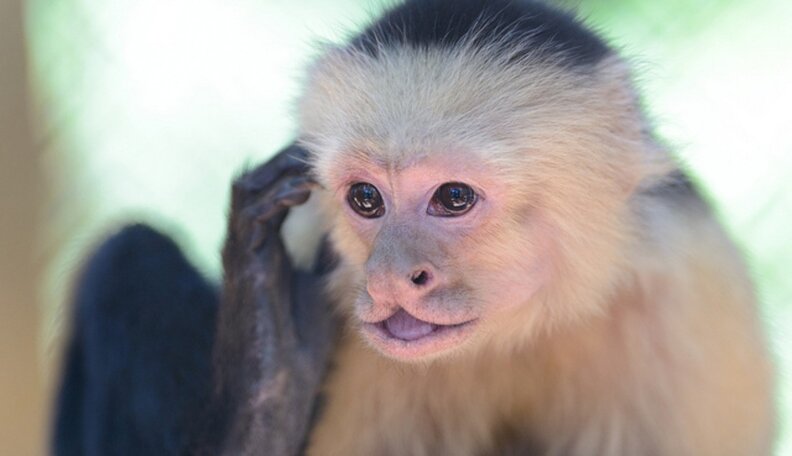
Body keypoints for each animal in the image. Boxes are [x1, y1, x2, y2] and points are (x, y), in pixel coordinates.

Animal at [52, 0, 776, 455]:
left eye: (453, 198)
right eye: (366, 199)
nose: (394, 276)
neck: (509, 333)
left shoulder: (695, 291)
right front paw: (268, 370)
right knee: (128, 253)